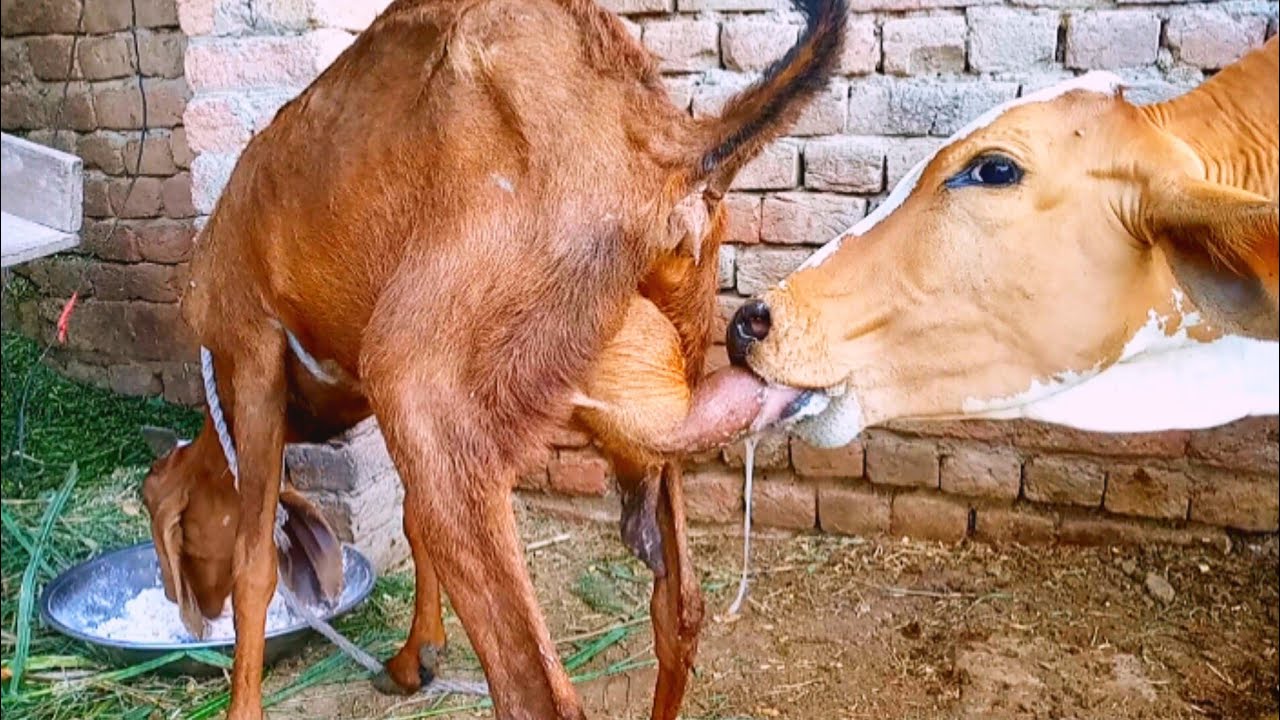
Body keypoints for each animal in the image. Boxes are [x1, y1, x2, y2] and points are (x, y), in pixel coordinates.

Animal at [138, 0, 845, 718]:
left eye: (159, 514)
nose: (184, 608)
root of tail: (666, 141)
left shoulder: (252, 347)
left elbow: (256, 563)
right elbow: (412, 521)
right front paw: (414, 657)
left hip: (415, 371)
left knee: (535, 692)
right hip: (667, 345)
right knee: (679, 607)